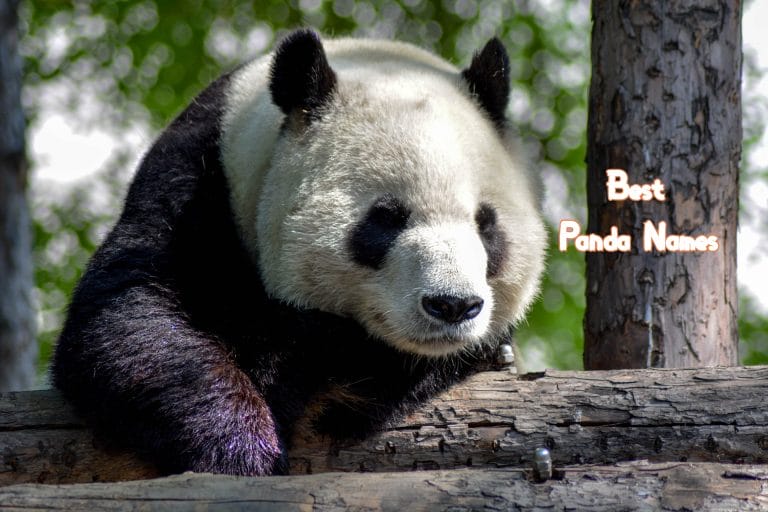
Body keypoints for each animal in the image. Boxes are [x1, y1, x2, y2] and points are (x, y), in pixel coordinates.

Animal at [52, 28, 546, 476]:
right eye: (386, 218)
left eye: (485, 224)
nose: (452, 305)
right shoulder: (196, 181)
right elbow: (128, 319)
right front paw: (243, 451)